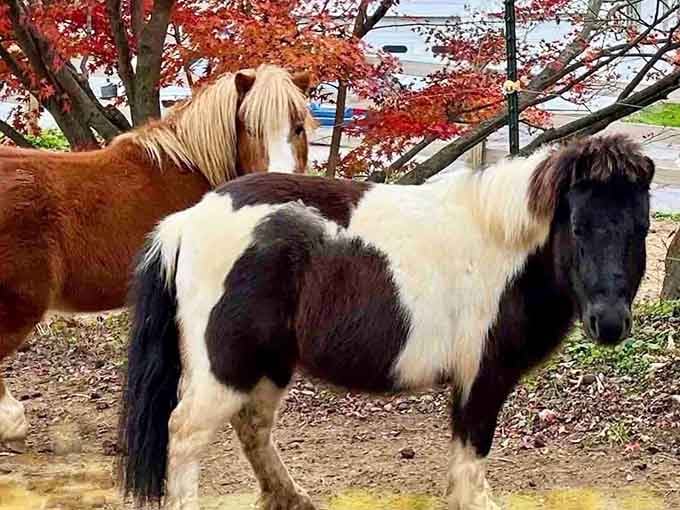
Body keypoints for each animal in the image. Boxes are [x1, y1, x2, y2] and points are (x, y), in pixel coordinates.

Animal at [118, 134, 654, 510]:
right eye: (578, 226)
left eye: (642, 228)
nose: (609, 322)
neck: (502, 246)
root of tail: (186, 221)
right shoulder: (482, 377)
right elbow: (473, 454)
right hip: (227, 367)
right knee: (185, 433)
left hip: (269, 363)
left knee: (253, 427)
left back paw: (290, 497)